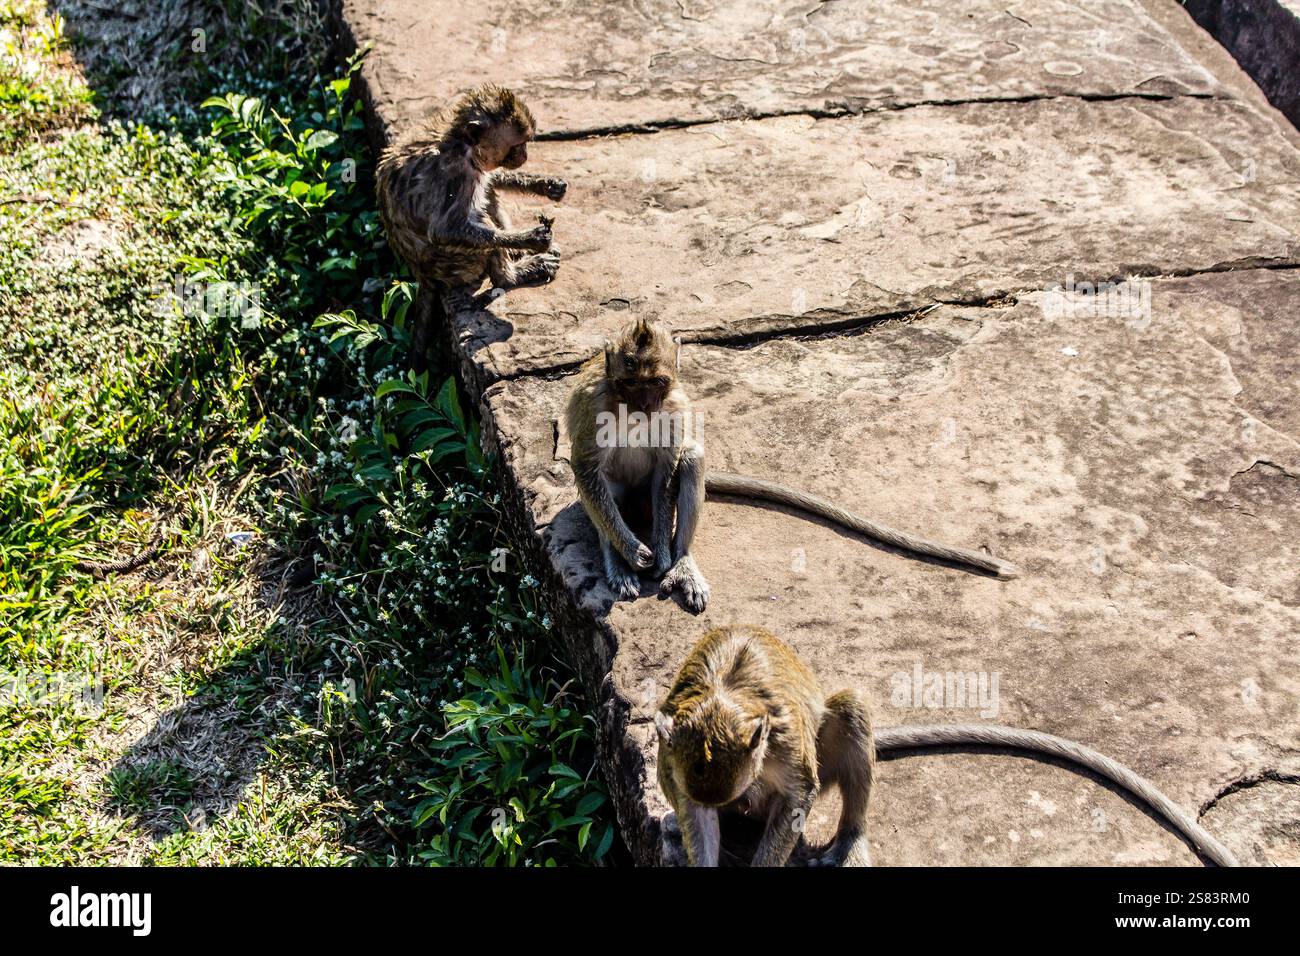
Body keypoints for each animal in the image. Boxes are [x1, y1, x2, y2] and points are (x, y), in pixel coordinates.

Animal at [375, 84, 566, 365]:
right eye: (518, 145)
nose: (525, 155)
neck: (462, 145)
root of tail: (422, 274)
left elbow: (491, 178)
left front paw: (545, 185)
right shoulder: (455, 174)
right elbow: (443, 230)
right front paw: (531, 239)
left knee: (487, 194)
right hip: (455, 264)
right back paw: (514, 273)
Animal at [564, 317, 1018, 616]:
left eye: (655, 383)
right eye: (630, 384)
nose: (644, 406)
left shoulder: (674, 403)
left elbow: (669, 466)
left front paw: (660, 551)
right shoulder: (595, 402)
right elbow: (586, 468)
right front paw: (631, 551)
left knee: (692, 460)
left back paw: (682, 562)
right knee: (599, 490)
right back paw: (617, 559)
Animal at [657, 626, 1239, 868]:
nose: (737, 802)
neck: (725, 693)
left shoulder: (779, 747)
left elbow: (799, 795)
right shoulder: (676, 753)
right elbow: (689, 802)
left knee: (849, 711)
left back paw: (850, 839)